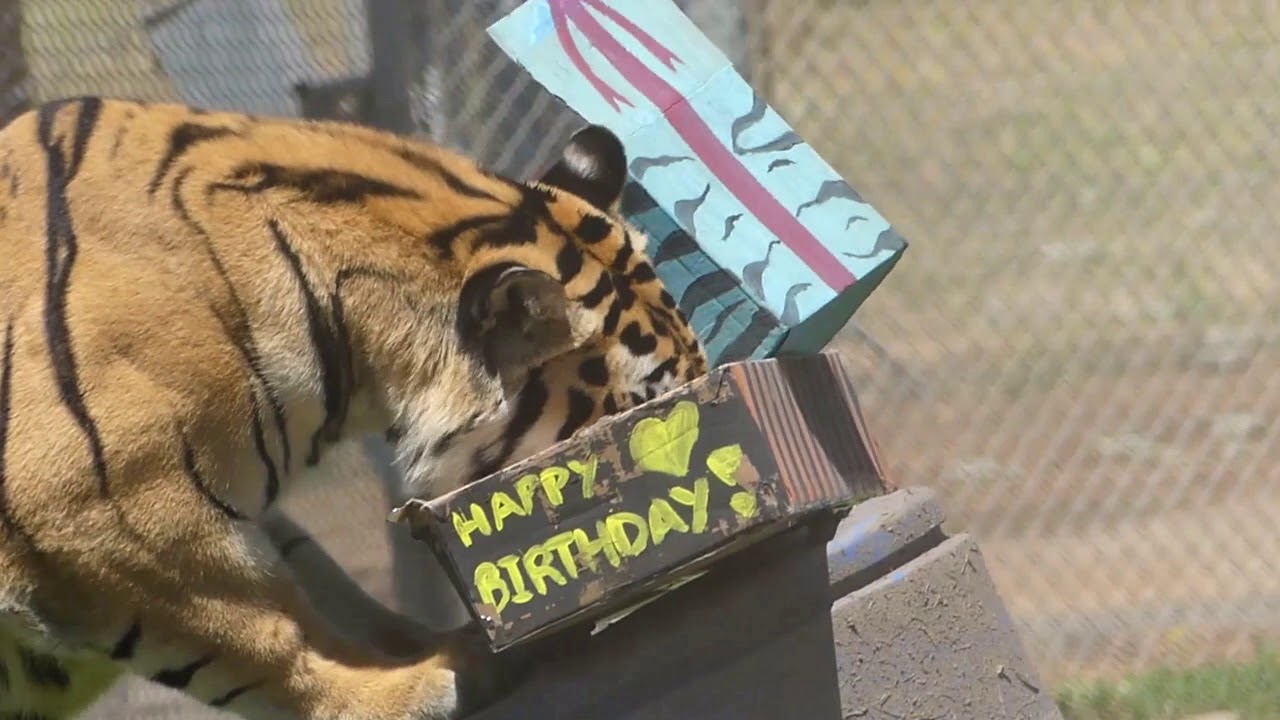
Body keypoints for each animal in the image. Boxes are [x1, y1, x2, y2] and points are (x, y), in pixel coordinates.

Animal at [0, 96, 708, 719]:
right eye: (640, 407)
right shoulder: (105, 510)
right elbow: (260, 638)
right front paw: (405, 693)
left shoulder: (232, 496)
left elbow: (326, 587)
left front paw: (434, 648)